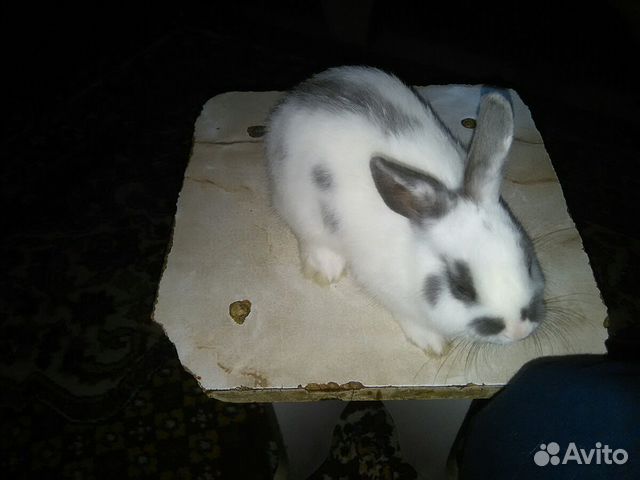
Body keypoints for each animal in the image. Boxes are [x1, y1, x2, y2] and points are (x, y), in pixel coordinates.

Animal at [265, 66, 545, 355]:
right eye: (461, 288)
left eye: (528, 262)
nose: (519, 330)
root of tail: (299, 95)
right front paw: (433, 344)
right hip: (302, 208)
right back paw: (325, 269)